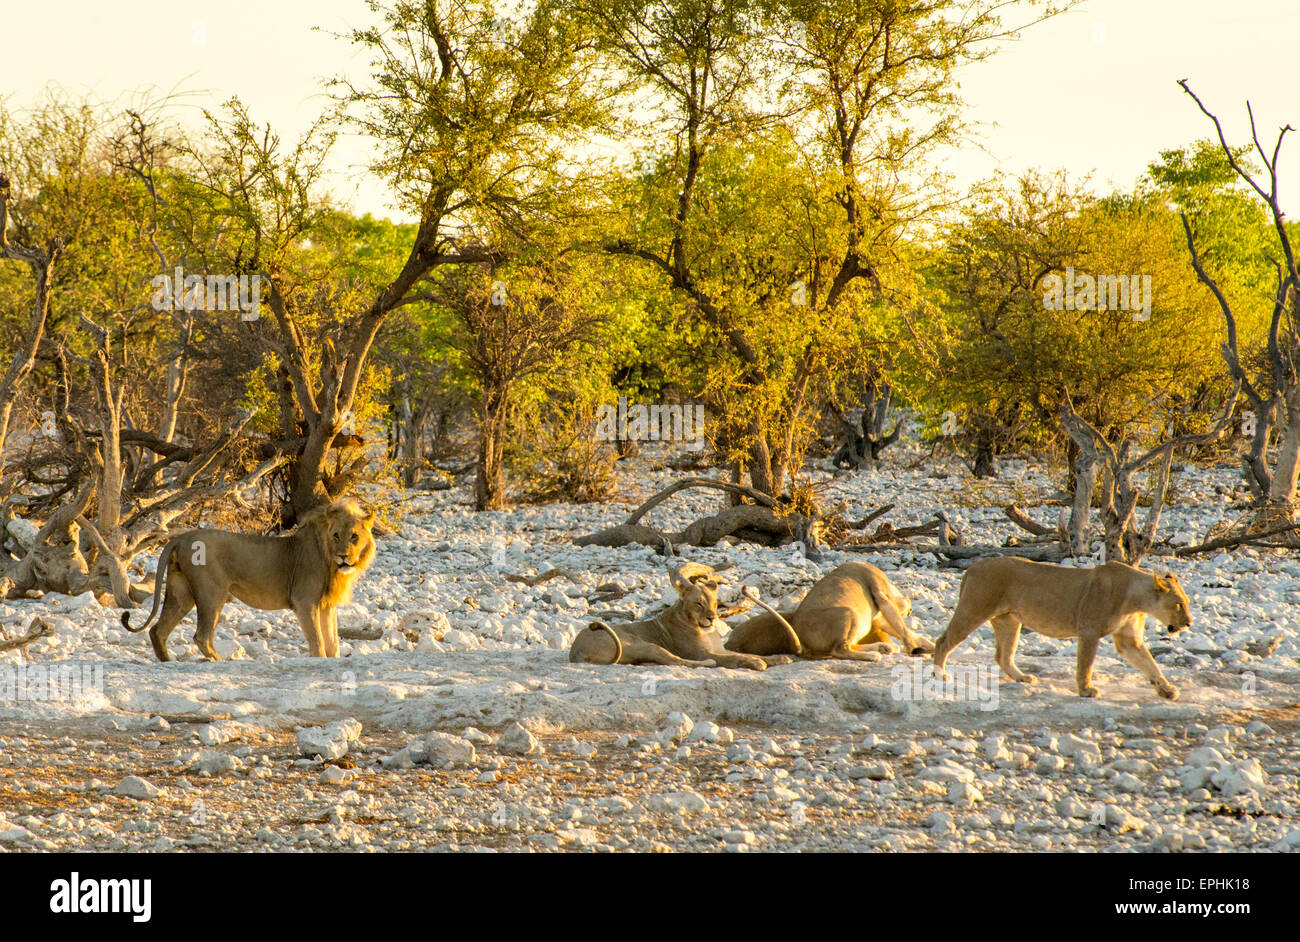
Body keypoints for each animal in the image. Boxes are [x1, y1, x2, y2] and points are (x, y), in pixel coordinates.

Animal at [122, 498, 376, 661]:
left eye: (354, 536)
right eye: (336, 536)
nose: (343, 556)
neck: (330, 561)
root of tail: (181, 538)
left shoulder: (325, 605)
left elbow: (333, 642)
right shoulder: (305, 602)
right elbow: (318, 641)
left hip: (181, 592)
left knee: (158, 630)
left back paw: (168, 661)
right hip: (212, 593)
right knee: (202, 636)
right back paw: (220, 661)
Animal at [569, 561, 802, 670]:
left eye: (714, 602)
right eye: (698, 603)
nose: (711, 618)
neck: (705, 630)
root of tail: (575, 651)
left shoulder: (720, 647)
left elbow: (745, 653)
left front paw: (779, 658)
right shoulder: (700, 652)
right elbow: (735, 657)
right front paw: (756, 663)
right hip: (639, 643)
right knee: (677, 660)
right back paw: (709, 664)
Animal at [724, 561, 934, 661]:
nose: (910, 609)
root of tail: (802, 645)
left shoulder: (878, 616)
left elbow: (901, 628)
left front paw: (928, 646)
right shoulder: (881, 593)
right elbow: (902, 628)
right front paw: (915, 650)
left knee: (846, 646)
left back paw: (883, 648)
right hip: (848, 612)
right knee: (840, 649)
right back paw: (874, 655)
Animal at [930, 556, 1192, 700]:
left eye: (1187, 602)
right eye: (1179, 604)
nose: (1189, 623)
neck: (1136, 600)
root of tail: (972, 567)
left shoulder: (1129, 640)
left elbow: (1150, 665)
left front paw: (1167, 690)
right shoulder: (1089, 630)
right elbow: (1086, 664)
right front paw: (1086, 690)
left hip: (1009, 620)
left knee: (1003, 655)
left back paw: (1022, 677)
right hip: (974, 609)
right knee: (942, 641)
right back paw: (939, 674)